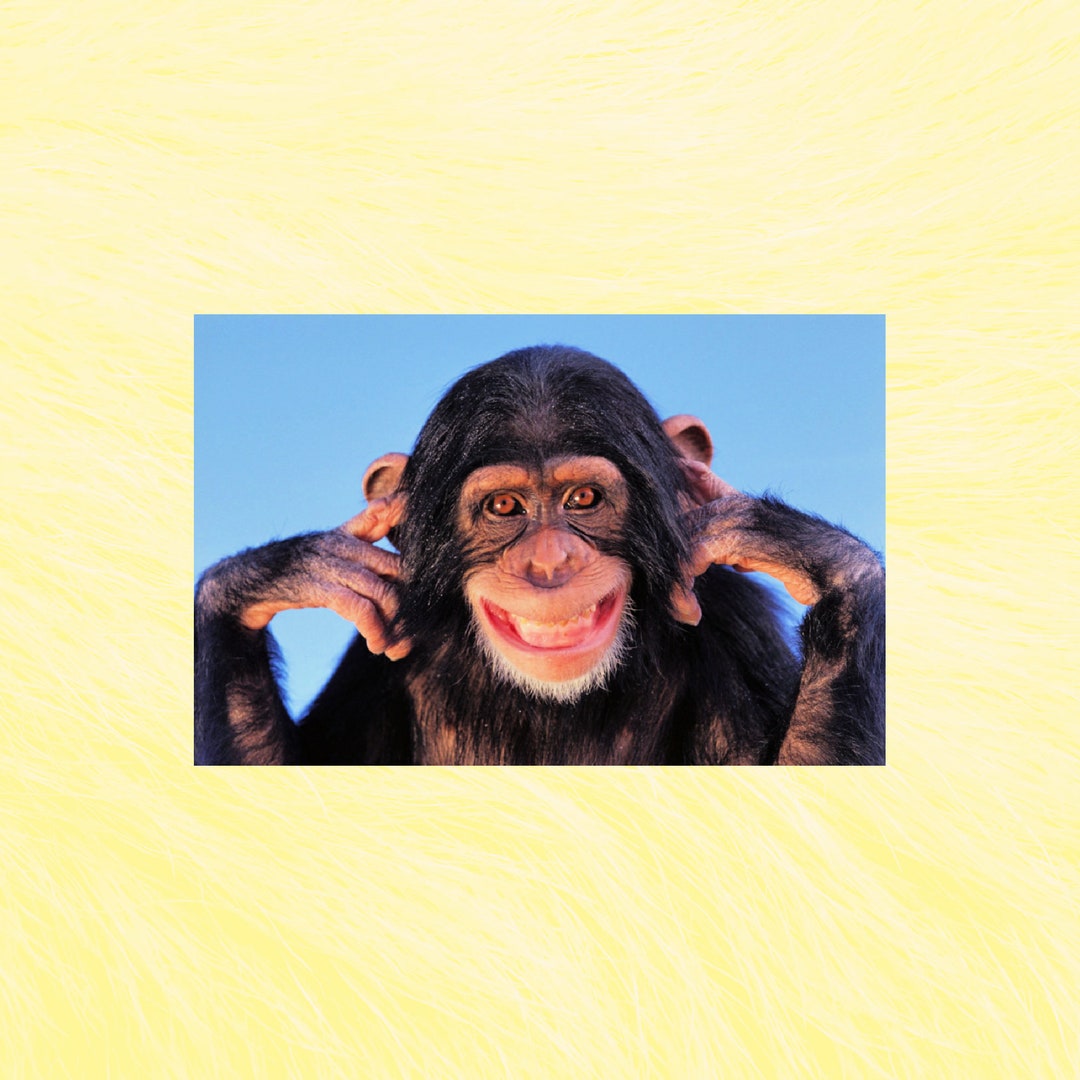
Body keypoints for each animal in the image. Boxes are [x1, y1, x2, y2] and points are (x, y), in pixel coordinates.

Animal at [195, 345, 884, 765]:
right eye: (504, 507)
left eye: (583, 498)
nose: (550, 561)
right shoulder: (379, 649)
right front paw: (284, 574)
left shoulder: (735, 628)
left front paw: (808, 552)